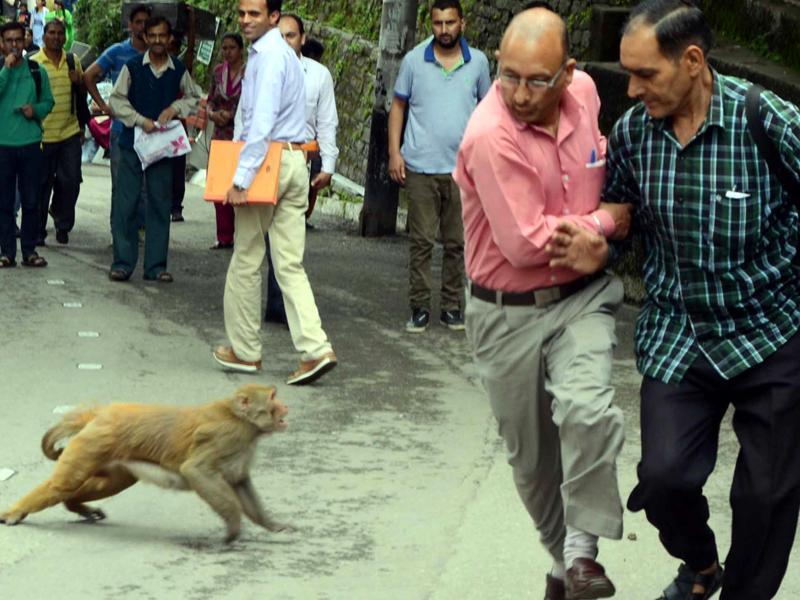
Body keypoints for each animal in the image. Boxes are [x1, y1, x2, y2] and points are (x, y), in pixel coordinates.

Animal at [0, 384, 290, 543]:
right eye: (273, 397)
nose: (286, 407)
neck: (241, 419)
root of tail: (101, 412)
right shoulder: (227, 436)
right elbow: (196, 471)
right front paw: (233, 526)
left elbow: (239, 482)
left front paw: (271, 524)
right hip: (94, 442)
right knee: (61, 484)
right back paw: (16, 511)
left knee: (114, 482)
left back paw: (74, 505)